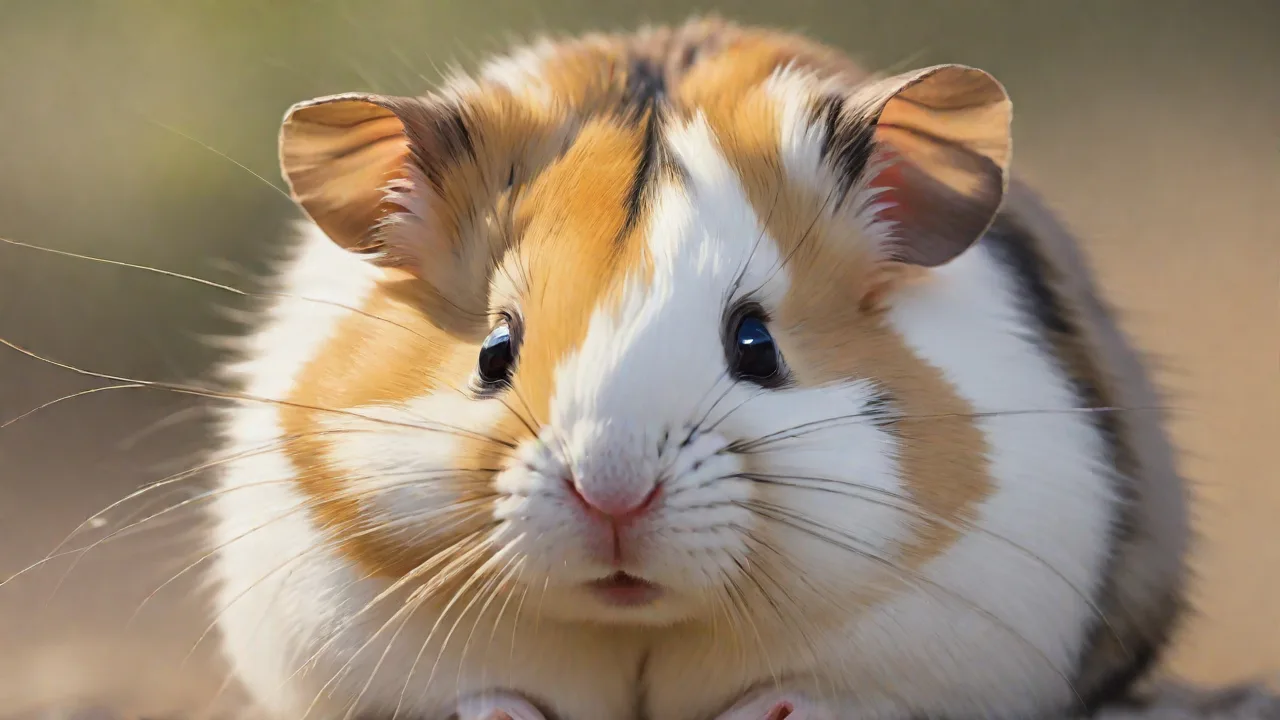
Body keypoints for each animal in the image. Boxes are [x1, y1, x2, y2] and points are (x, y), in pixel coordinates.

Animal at [210, 17, 1190, 720]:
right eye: (494, 352)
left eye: (757, 345)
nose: (611, 496)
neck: (638, 625)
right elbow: (478, 696)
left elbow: (825, 695)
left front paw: (774, 712)